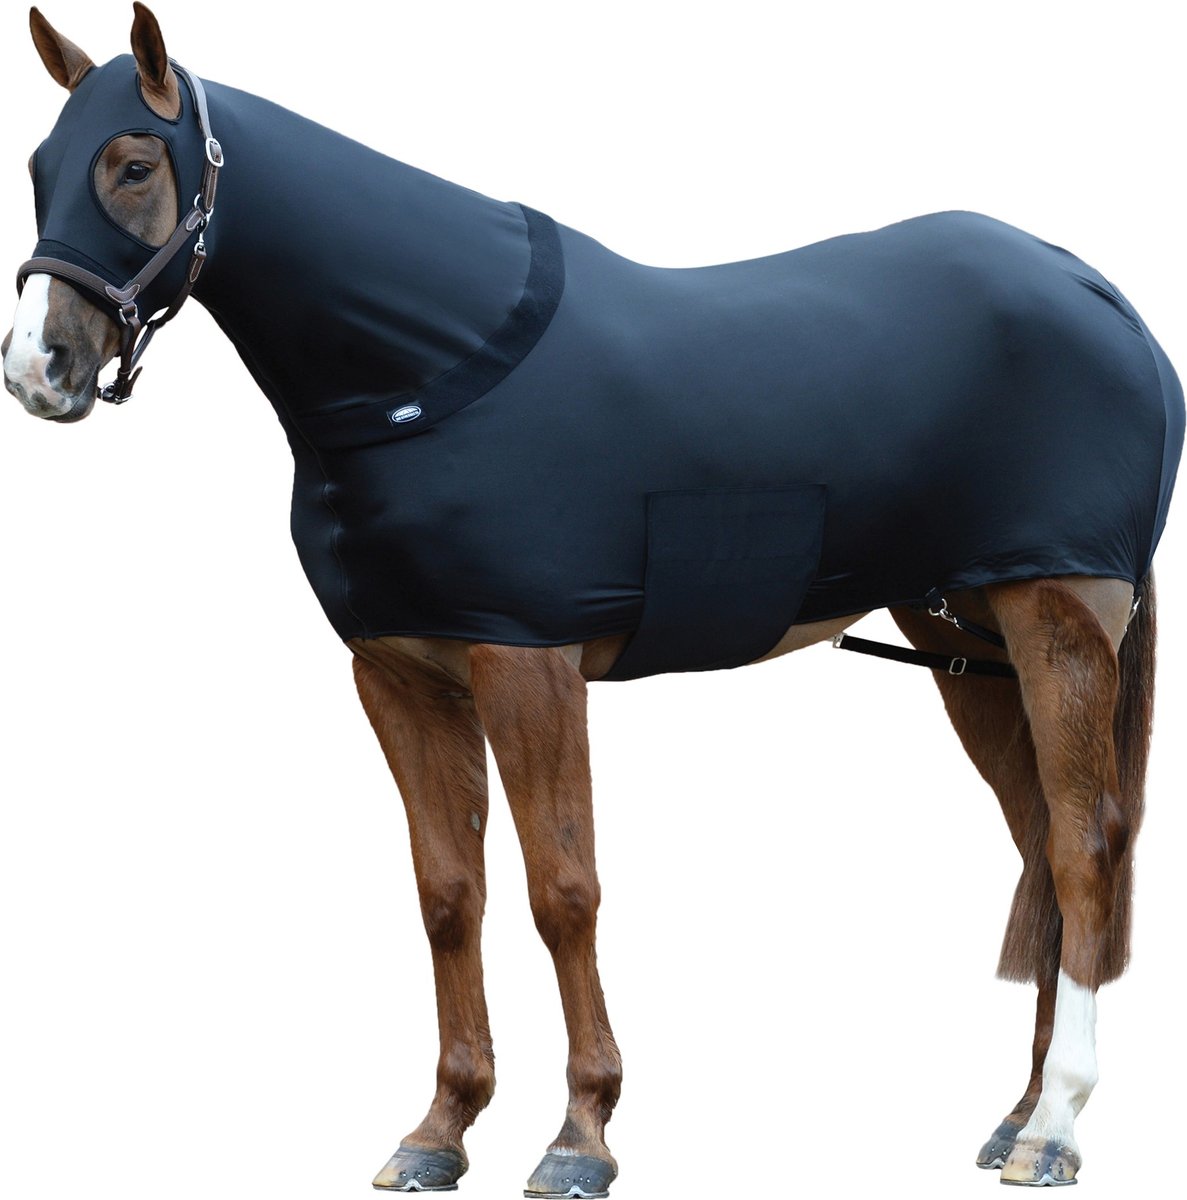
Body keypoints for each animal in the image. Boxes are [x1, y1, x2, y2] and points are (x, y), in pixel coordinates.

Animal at [4, 4, 1183, 1194]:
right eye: (39, 167)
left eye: (134, 164)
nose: (38, 369)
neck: (436, 374)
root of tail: (1097, 296)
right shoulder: (399, 677)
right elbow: (449, 896)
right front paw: (440, 1129)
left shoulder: (528, 664)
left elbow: (561, 892)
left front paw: (579, 1134)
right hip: (963, 639)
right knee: (1038, 845)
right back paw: (1013, 1115)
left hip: (1056, 622)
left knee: (1084, 846)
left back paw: (1055, 1126)